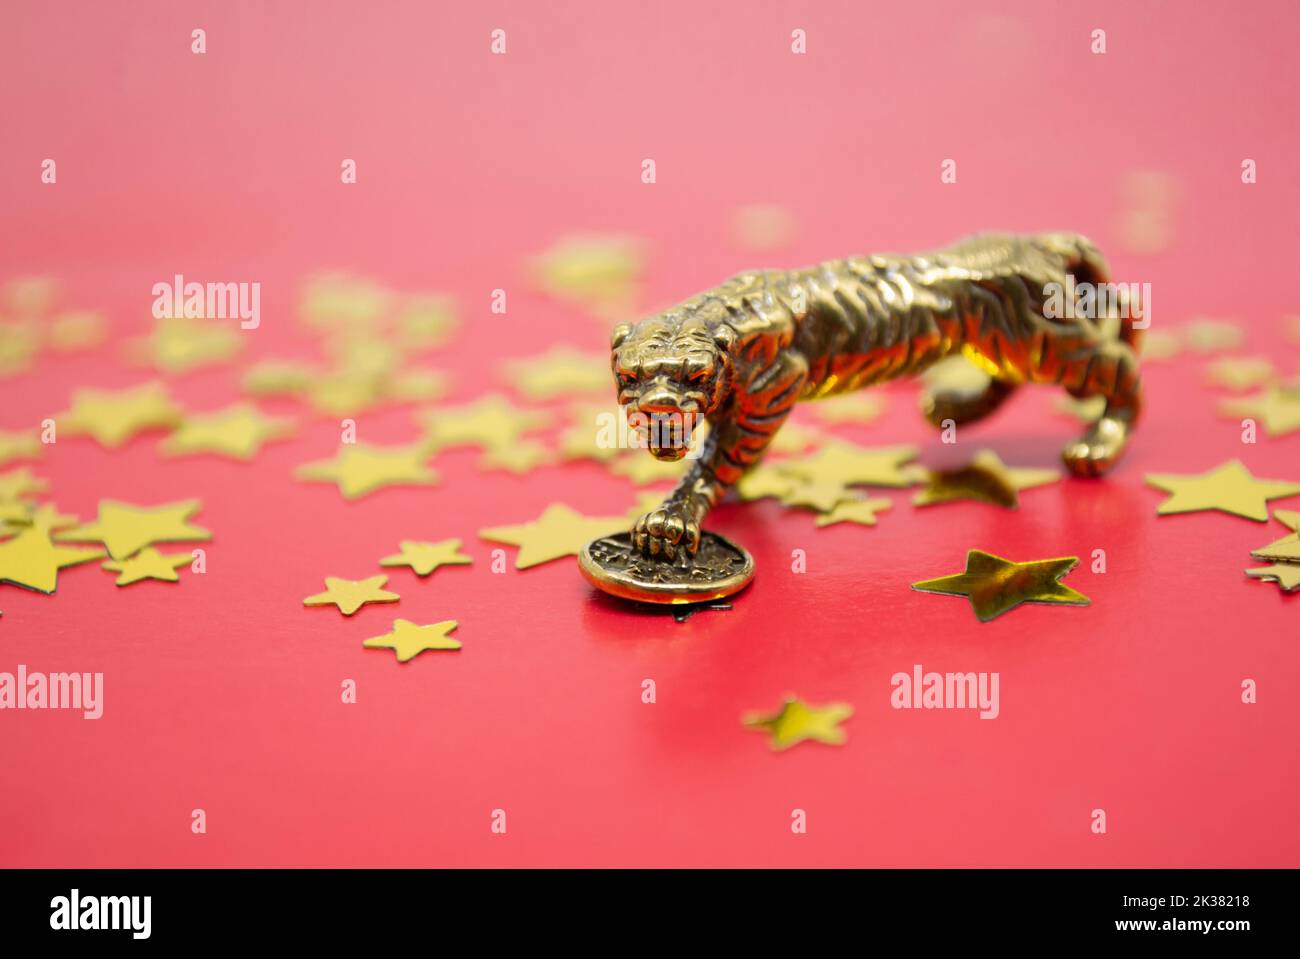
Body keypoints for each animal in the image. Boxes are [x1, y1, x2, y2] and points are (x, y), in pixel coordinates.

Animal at [609, 232, 1142, 560]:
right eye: (630, 375)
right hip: (1002, 343)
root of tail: (1041, 241)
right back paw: (957, 407)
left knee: (1121, 364)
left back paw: (1101, 442)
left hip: (1044, 343)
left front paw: (671, 518)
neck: (712, 316)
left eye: (696, 376)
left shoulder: (769, 396)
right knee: (1008, 378)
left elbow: (716, 460)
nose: (661, 408)